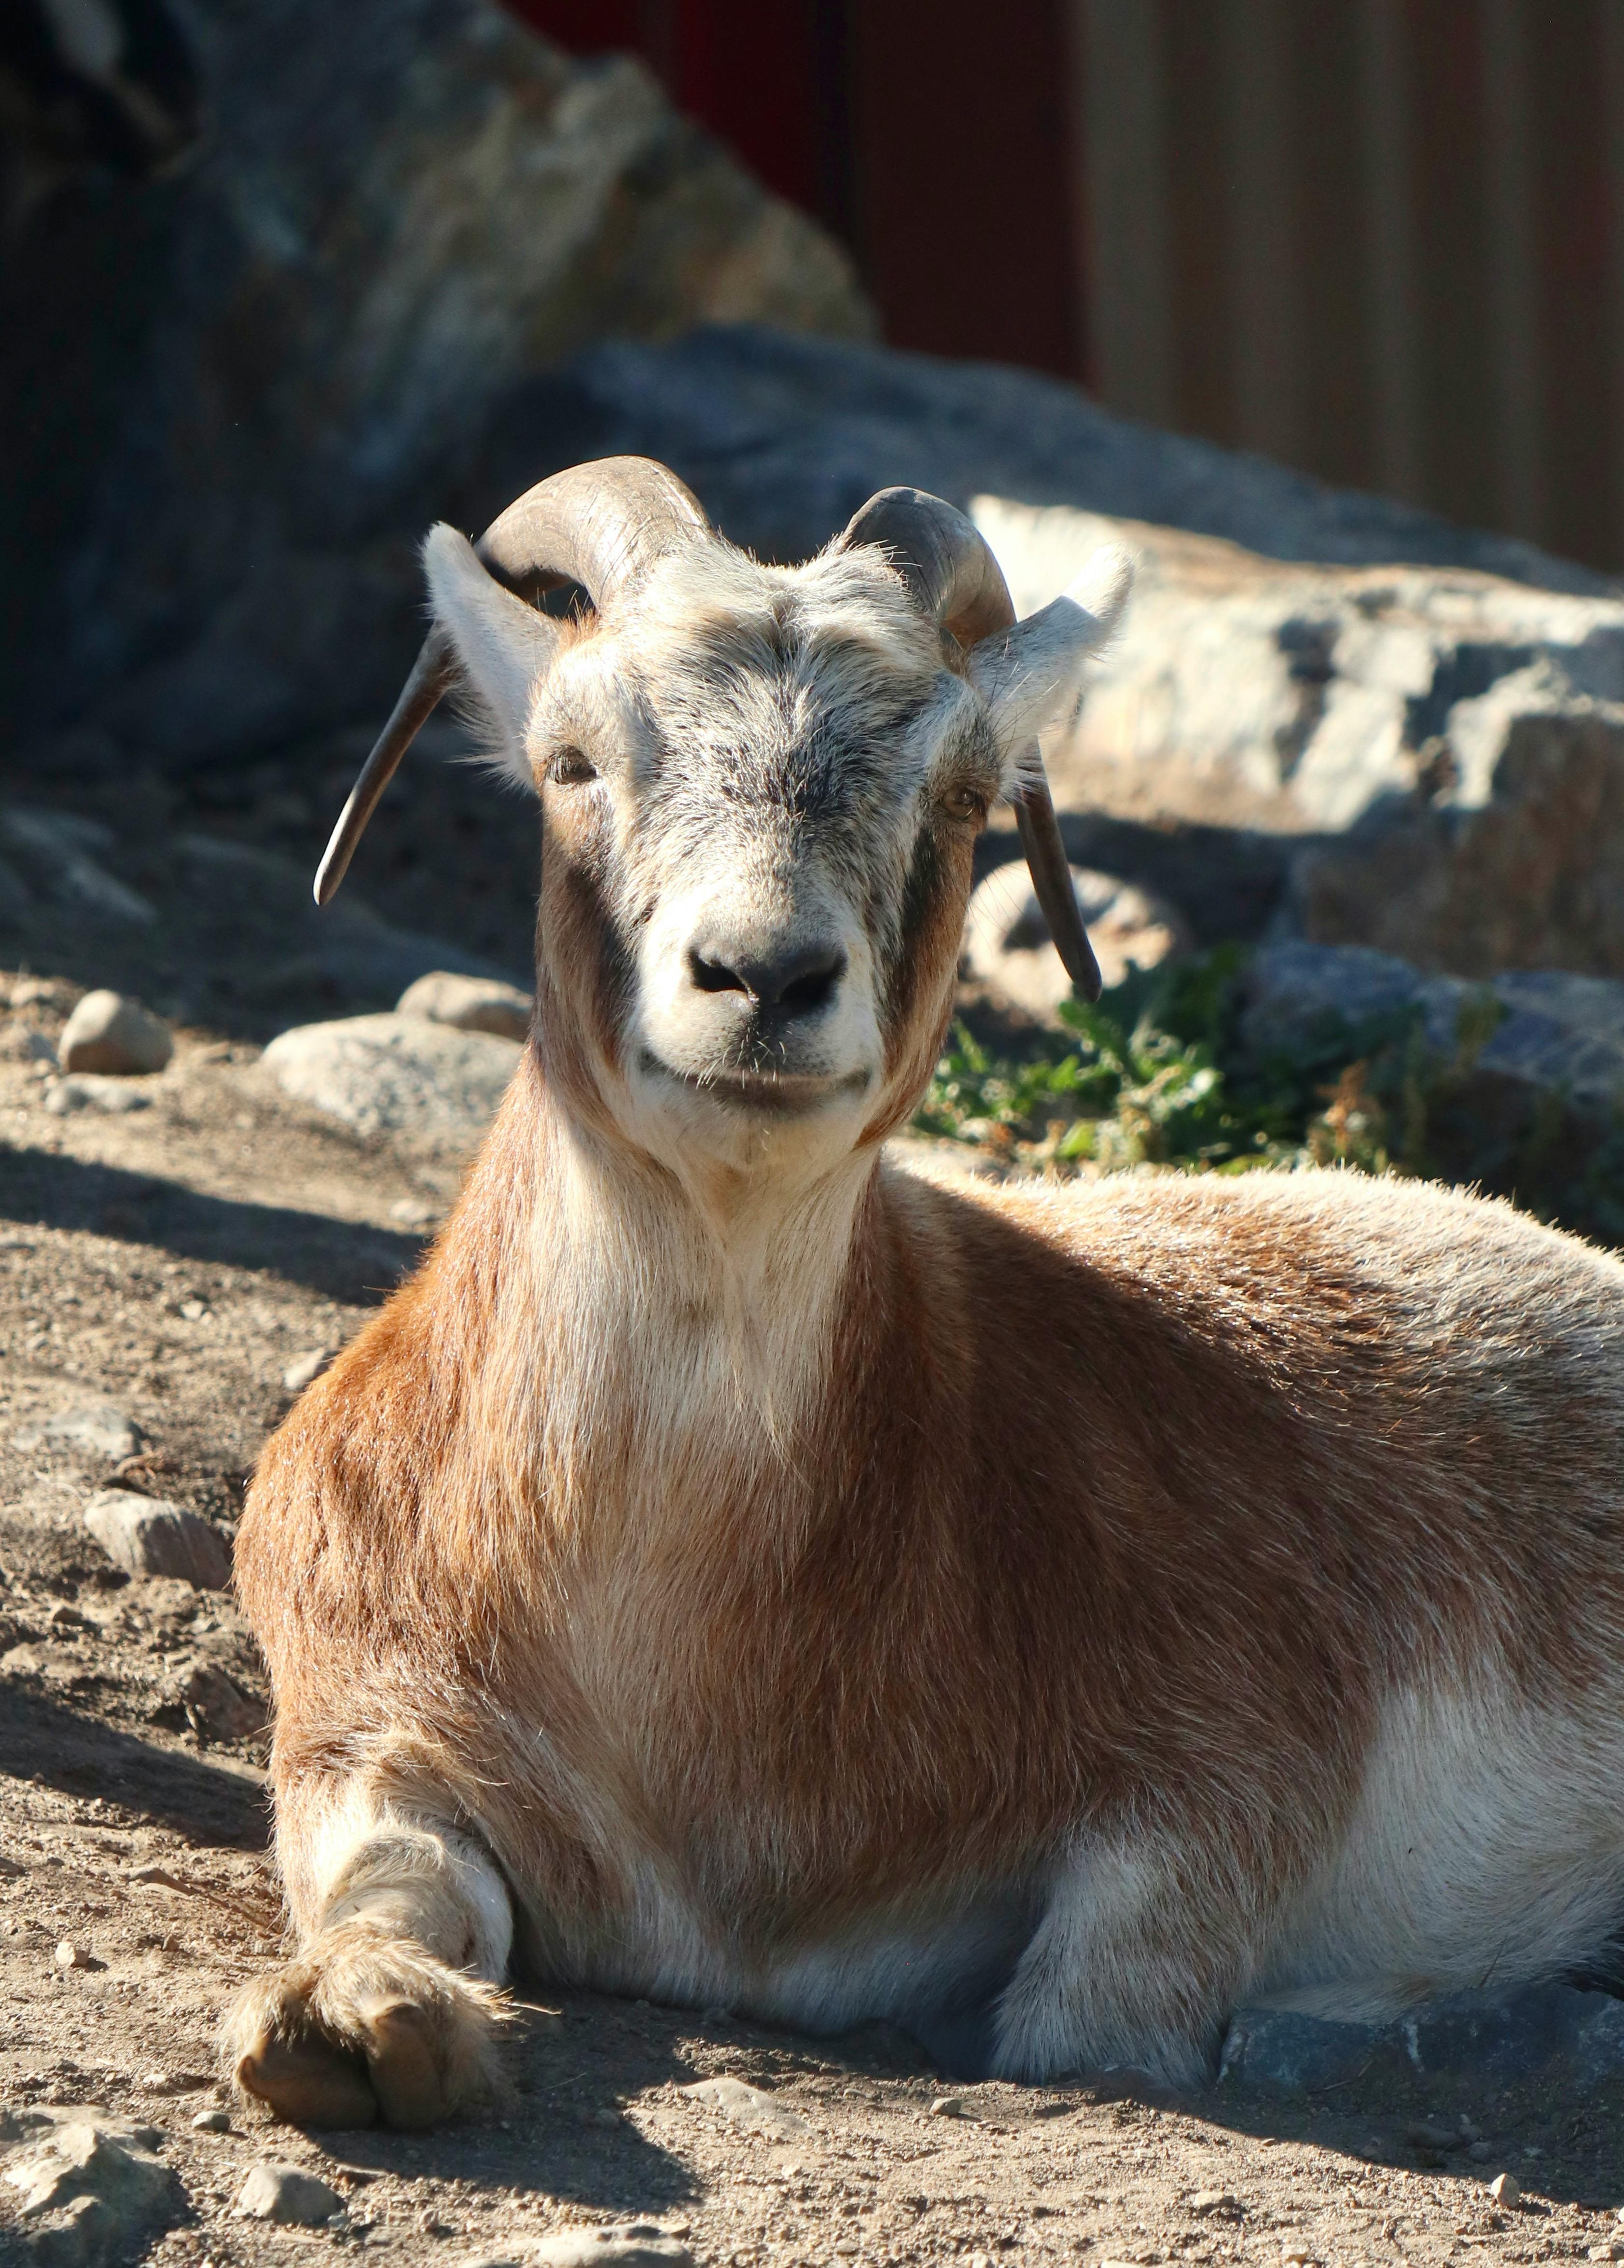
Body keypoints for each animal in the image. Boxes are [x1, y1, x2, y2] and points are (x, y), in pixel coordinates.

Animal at [229, 457, 1624, 2130]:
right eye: (572, 759)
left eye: (960, 794)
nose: (762, 976)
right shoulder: (359, 1703)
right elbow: (385, 1866)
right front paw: (356, 2020)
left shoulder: (1239, 1747)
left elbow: (1093, 2011)